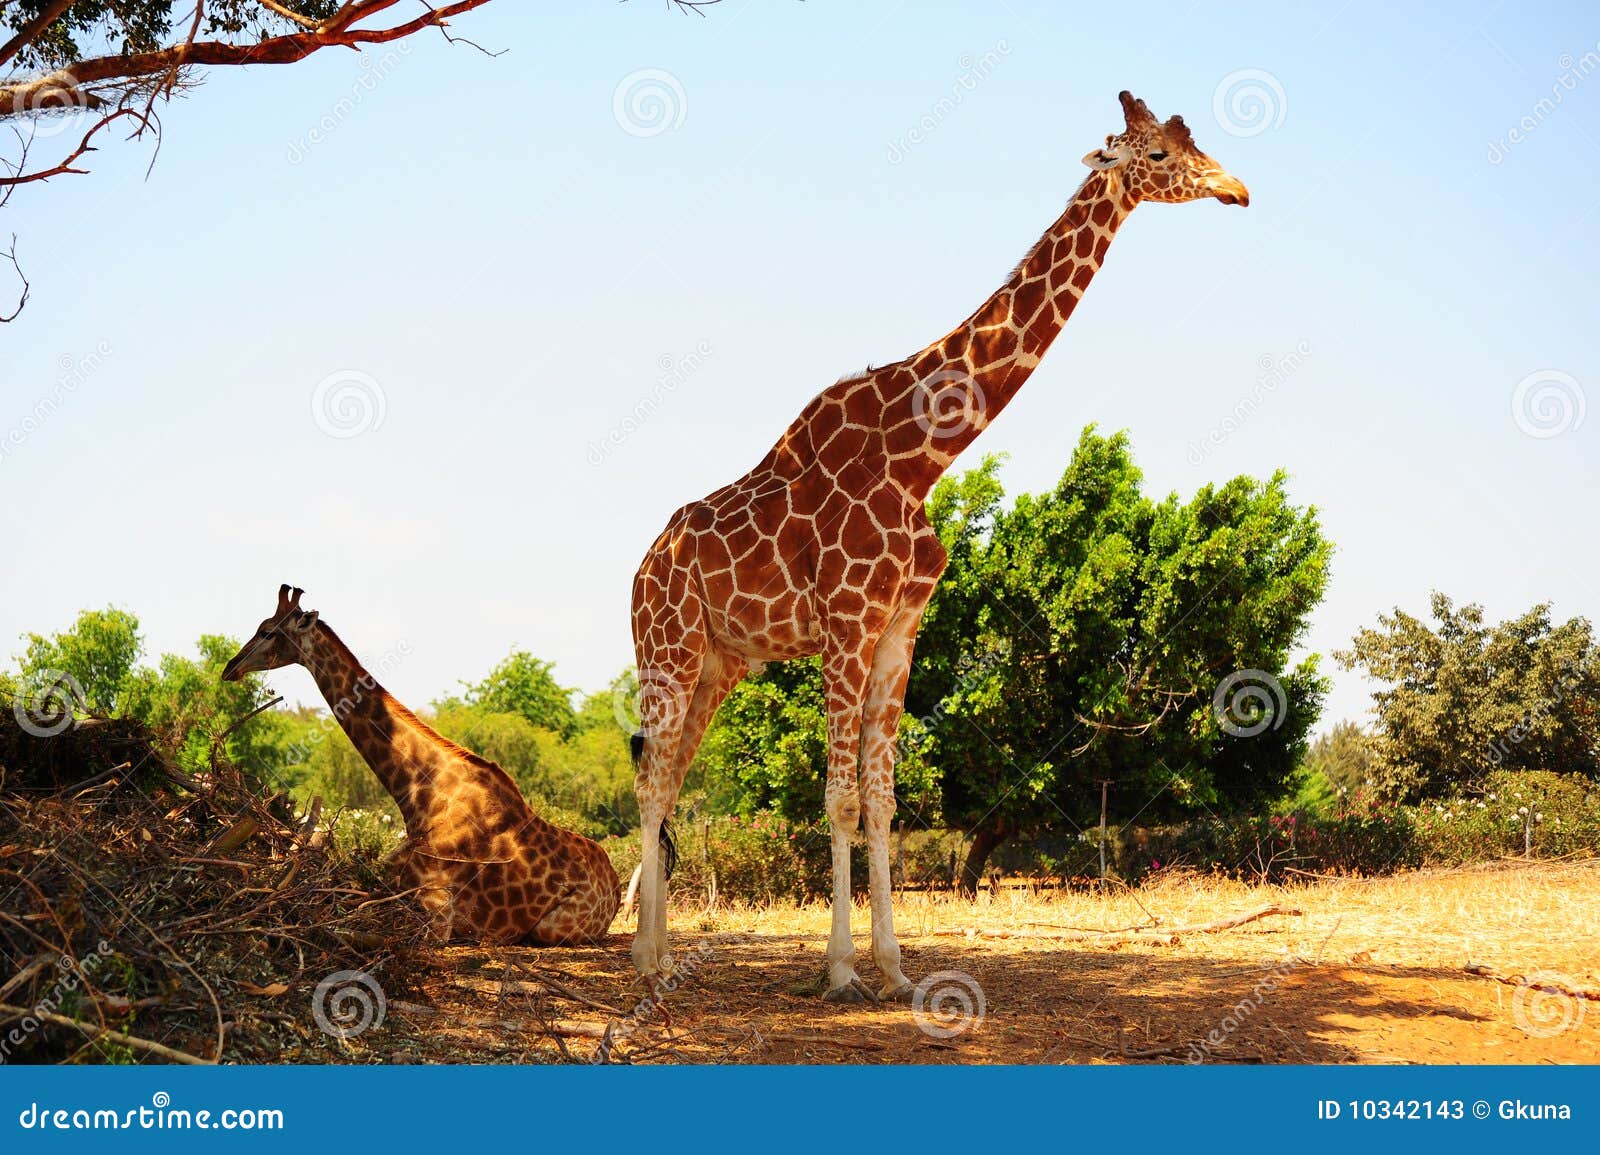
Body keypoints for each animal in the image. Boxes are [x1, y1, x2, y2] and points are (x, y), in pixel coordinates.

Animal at [221, 585, 620, 945]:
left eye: (267, 630)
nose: (230, 668)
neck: (419, 795)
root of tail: (615, 887)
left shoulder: (436, 911)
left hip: (552, 928)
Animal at [629, 92, 1249, 1000]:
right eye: (1161, 154)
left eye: (1192, 137)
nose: (1237, 189)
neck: (922, 453)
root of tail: (640, 568)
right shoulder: (847, 622)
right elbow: (840, 798)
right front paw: (841, 969)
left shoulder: (899, 627)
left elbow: (884, 800)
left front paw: (892, 965)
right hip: (666, 652)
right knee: (650, 781)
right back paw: (645, 956)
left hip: (718, 662)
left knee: (669, 778)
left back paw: (663, 952)